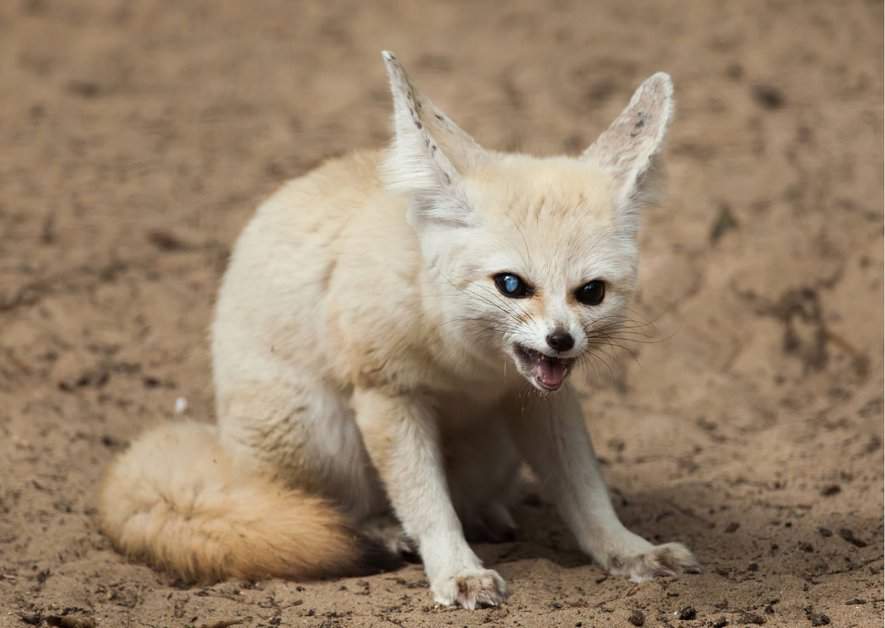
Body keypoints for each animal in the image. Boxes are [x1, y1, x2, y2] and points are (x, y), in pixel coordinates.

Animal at [98, 51, 698, 609]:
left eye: (591, 292)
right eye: (511, 284)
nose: (561, 340)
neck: (468, 364)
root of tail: (222, 446)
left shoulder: (538, 399)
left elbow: (585, 491)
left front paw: (628, 551)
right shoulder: (386, 393)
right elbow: (426, 502)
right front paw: (457, 571)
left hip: (493, 451)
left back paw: (488, 515)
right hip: (319, 430)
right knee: (322, 507)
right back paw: (380, 531)